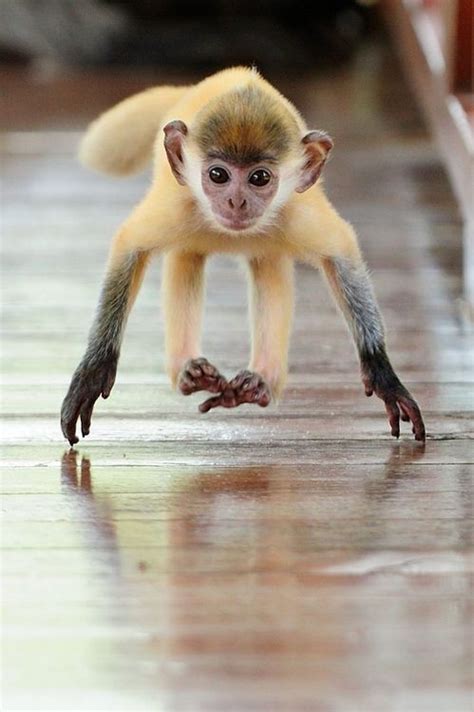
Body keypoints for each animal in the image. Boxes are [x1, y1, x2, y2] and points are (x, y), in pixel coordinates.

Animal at [61, 66, 425, 445]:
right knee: (187, 258)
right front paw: (94, 371)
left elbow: (341, 252)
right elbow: (130, 246)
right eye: (218, 174)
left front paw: (382, 373)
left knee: (267, 266)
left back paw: (258, 383)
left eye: (259, 177)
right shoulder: (178, 208)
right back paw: (190, 370)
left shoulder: (296, 214)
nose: (236, 202)